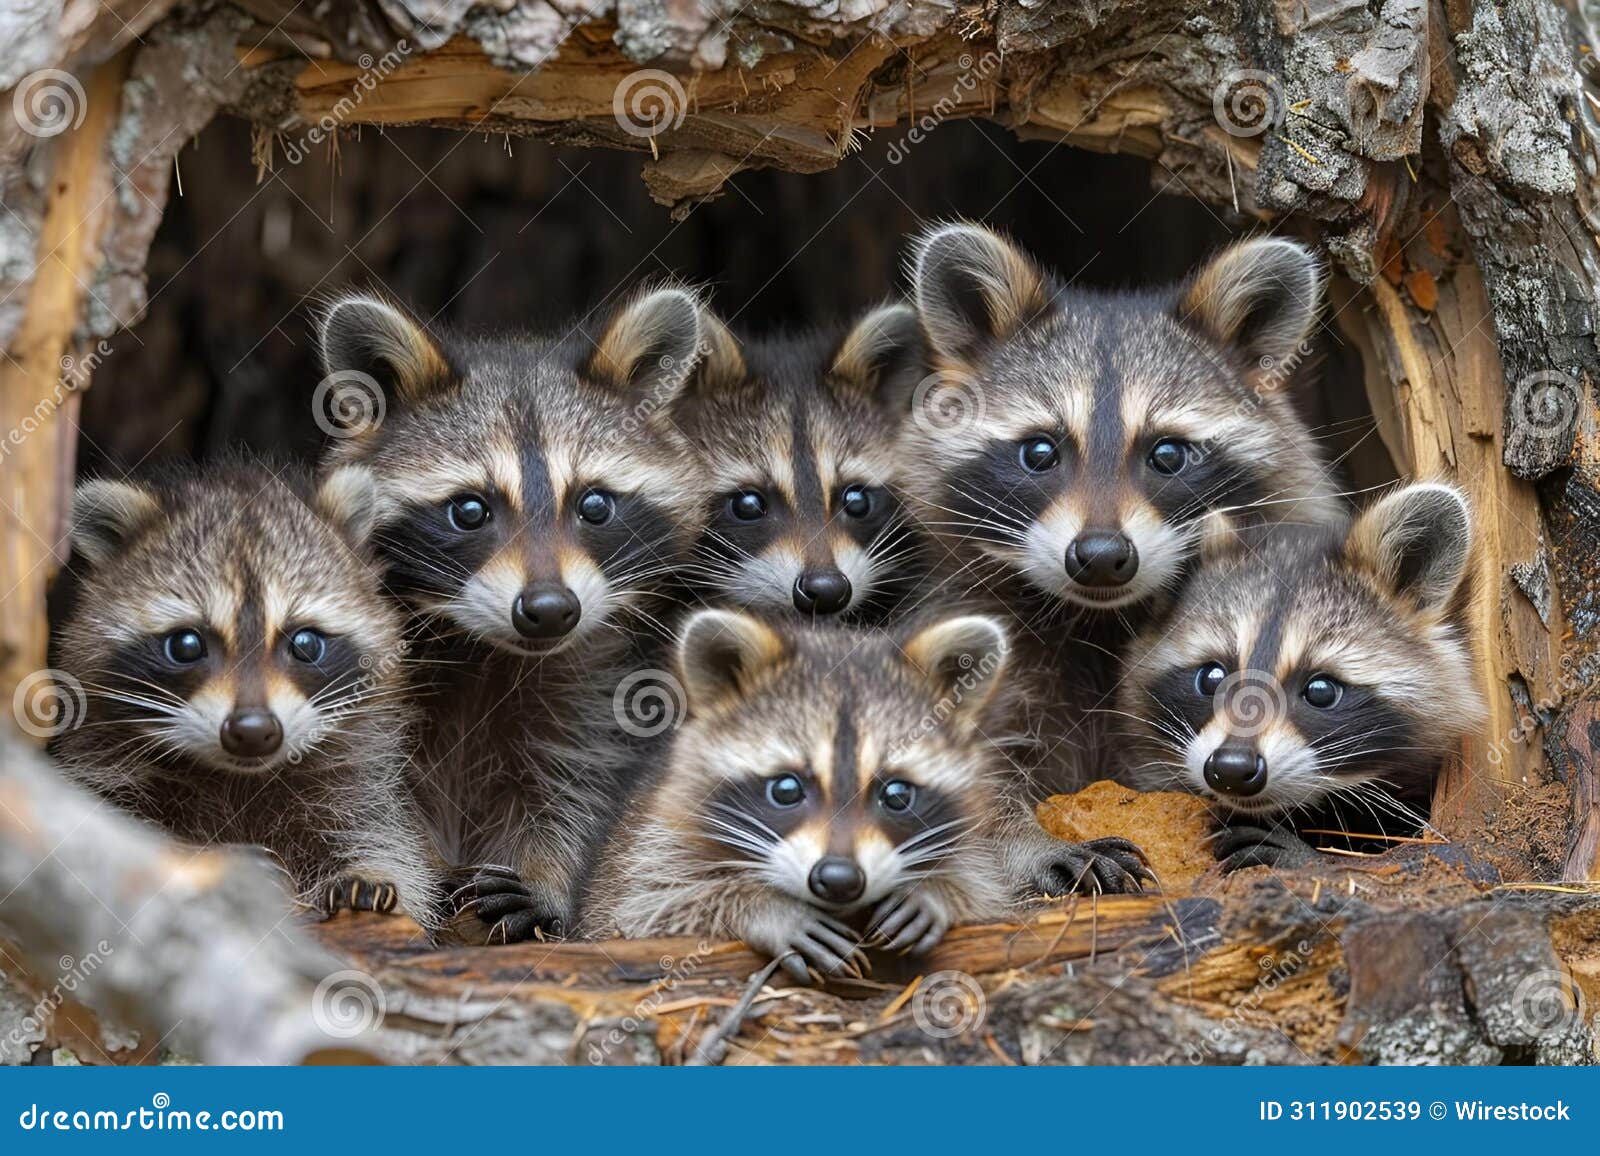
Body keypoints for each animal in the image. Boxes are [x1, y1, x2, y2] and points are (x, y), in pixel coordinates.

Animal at [51, 456, 442, 928]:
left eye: (305, 644)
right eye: (187, 645)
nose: (253, 731)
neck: (241, 777)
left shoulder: (357, 781)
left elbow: (383, 835)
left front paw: (368, 874)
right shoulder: (104, 771)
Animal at [314, 286, 704, 941]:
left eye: (594, 504)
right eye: (470, 510)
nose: (549, 610)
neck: (490, 651)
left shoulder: (593, 673)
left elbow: (581, 786)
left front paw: (551, 879)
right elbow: (368, 795)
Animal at [580, 609, 1038, 979]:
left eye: (896, 795)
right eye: (786, 789)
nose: (838, 879)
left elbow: (988, 885)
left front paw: (937, 889)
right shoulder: (653, 843)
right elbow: (641, 909)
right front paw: (763, 906)